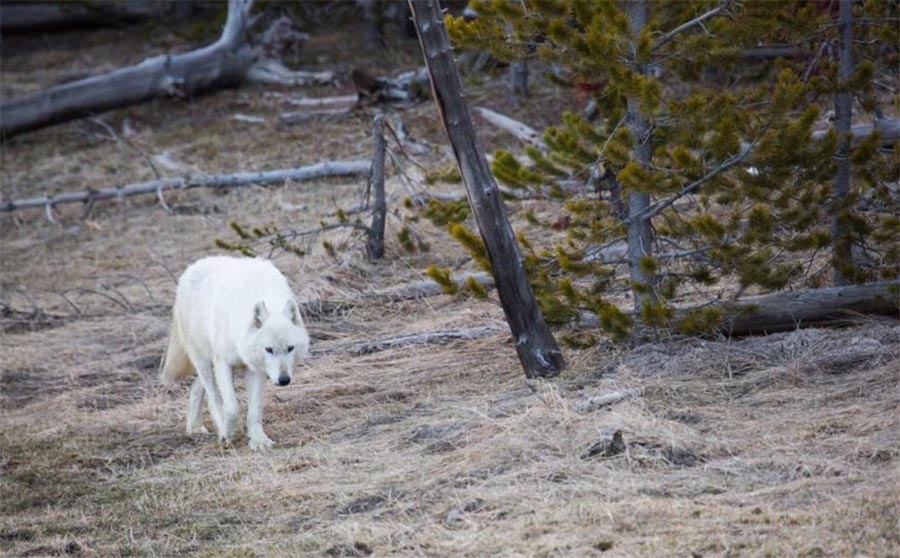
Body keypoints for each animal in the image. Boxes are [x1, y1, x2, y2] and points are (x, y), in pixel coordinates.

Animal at [161, 256, 310, 451]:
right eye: (269, 349)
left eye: (290, 348)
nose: (284, 380)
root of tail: (194, 266)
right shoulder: (223, 362)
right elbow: (232, 407)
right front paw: (231, 433)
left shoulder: (255, 369)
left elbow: (255, 409)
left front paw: (258, 441)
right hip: (204, 361)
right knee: (213, 397)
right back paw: (220, 430)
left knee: (196, 388)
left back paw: (194, 427)